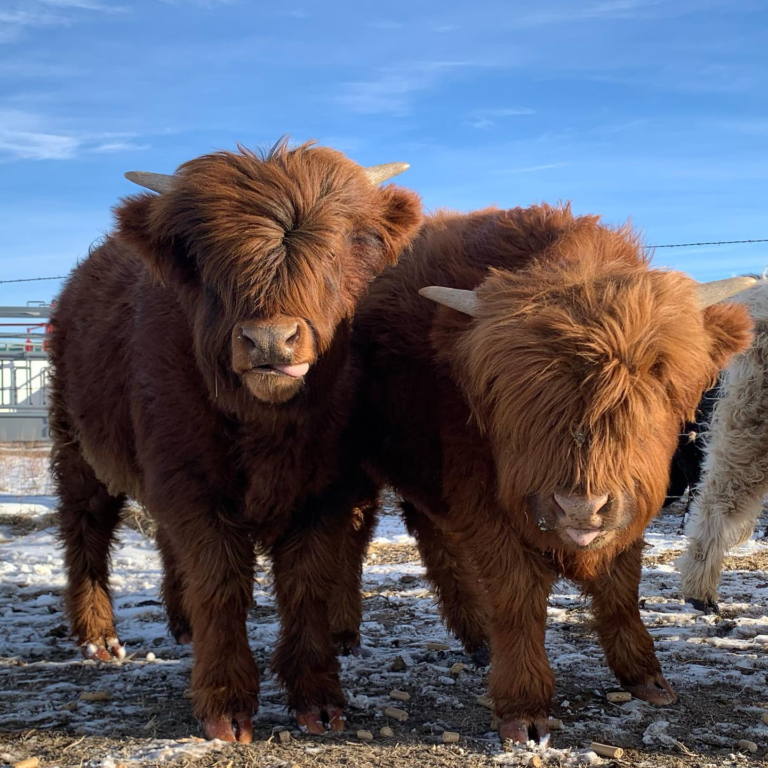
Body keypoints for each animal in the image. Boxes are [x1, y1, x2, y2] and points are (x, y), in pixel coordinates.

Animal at [47, 141, 422, 743]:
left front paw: (317, 698)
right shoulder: (192, 485)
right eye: (207, 258)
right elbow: (221, 584)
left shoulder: (328, 490)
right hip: (78, 447)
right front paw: (225, 705)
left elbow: (308, 584)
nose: (269, 339)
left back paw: (181, 625)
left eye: (337, 249)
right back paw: (98, 637)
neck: (269, 426)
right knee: (86, 528)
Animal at [342, 204, 753, 744]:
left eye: (655, 376)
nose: (581, 507)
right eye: (513, 388)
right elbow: (517, 598)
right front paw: (523, 705)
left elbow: (621, 589)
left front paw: (645, 675)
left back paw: (477, 639)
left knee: (432, 535)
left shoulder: (629, 513)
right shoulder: (485, 504)